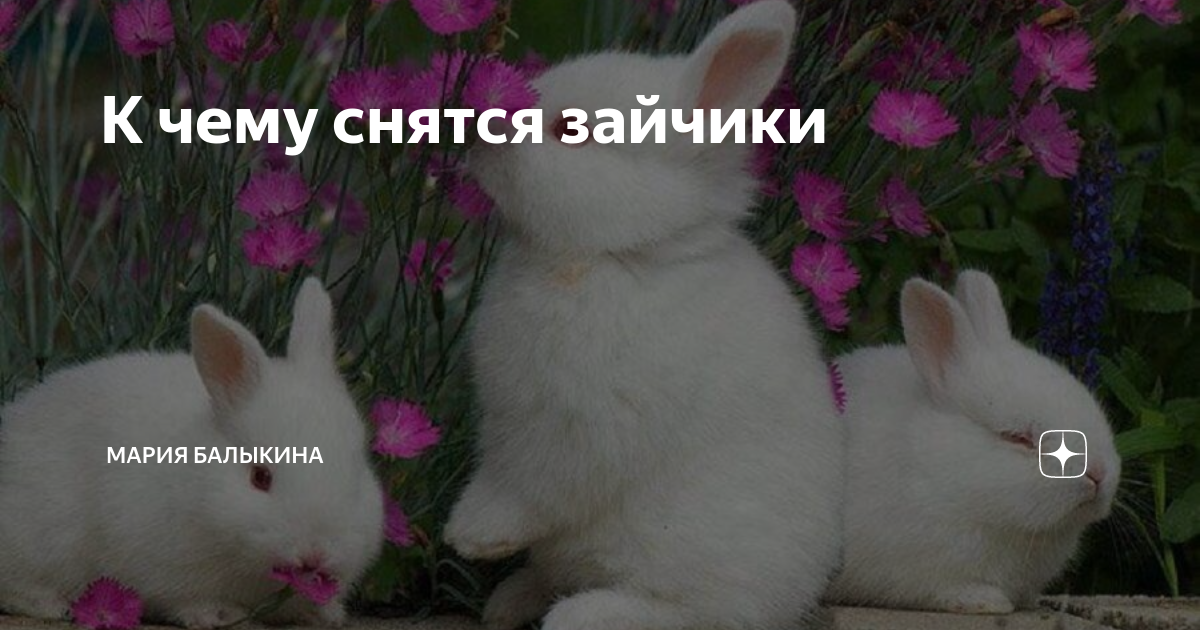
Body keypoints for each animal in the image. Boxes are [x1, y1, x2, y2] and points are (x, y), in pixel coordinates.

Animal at [0, 278, 384, 628]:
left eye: (355, 478)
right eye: (260, 477)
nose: (315, 553)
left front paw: (324, 613)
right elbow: (183, 600)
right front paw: (217, 614)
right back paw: (52, 604)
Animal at [443, 3, 845, 630]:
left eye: (572, 130)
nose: (475, 133)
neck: (618, 255)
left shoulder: (578, 427)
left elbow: (532, 487)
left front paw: (474, 536)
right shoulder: (506, 418)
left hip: (695, 560)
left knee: (691, 612)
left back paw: (578, 614)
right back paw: (510, 602)